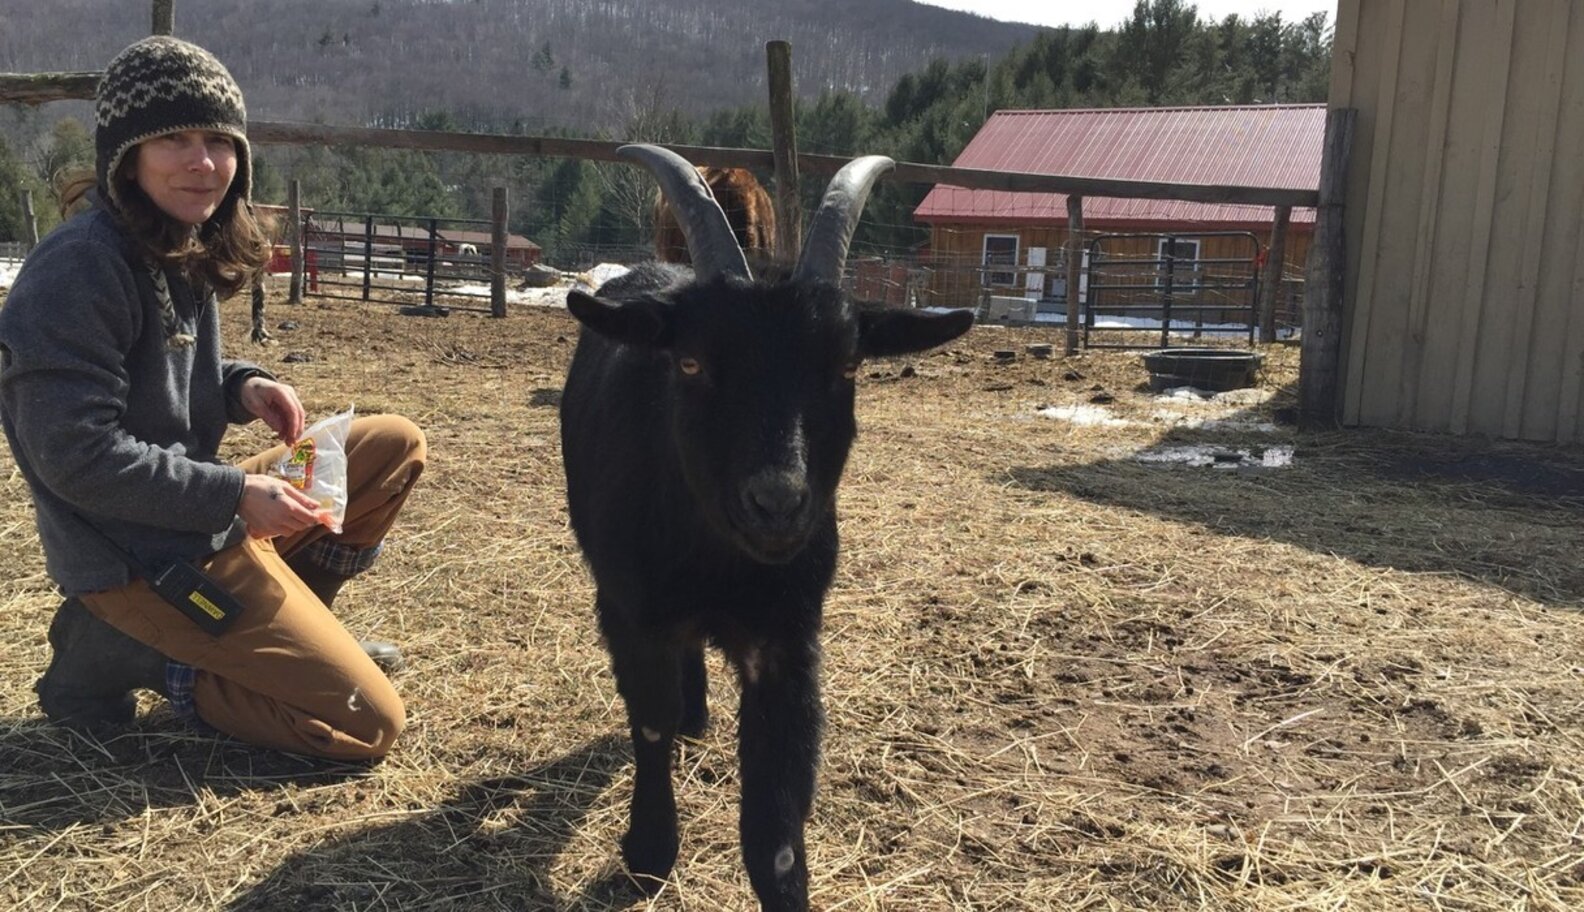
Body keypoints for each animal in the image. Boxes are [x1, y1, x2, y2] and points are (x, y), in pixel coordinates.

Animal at [560, 144, 973, 911]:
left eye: (848, 364)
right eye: (690, 361)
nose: (778, 502)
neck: (720, 561)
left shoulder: (788, 636)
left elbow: (775, 817)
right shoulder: (633, 612)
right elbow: (650, 719)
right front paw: (648, 851)